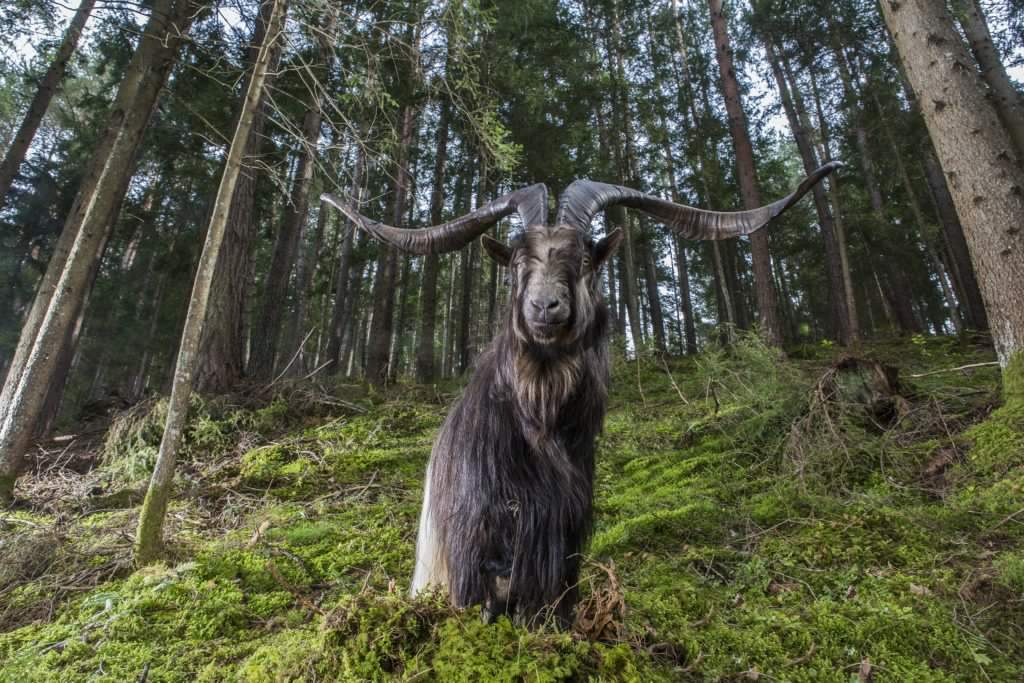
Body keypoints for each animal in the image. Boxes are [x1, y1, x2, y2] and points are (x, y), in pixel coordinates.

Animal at [322, 162, 839, 625]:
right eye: (517, 263)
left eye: (585, 260)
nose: (544, 307)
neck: (538, 422)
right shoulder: (478, 531)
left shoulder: (564, 529)